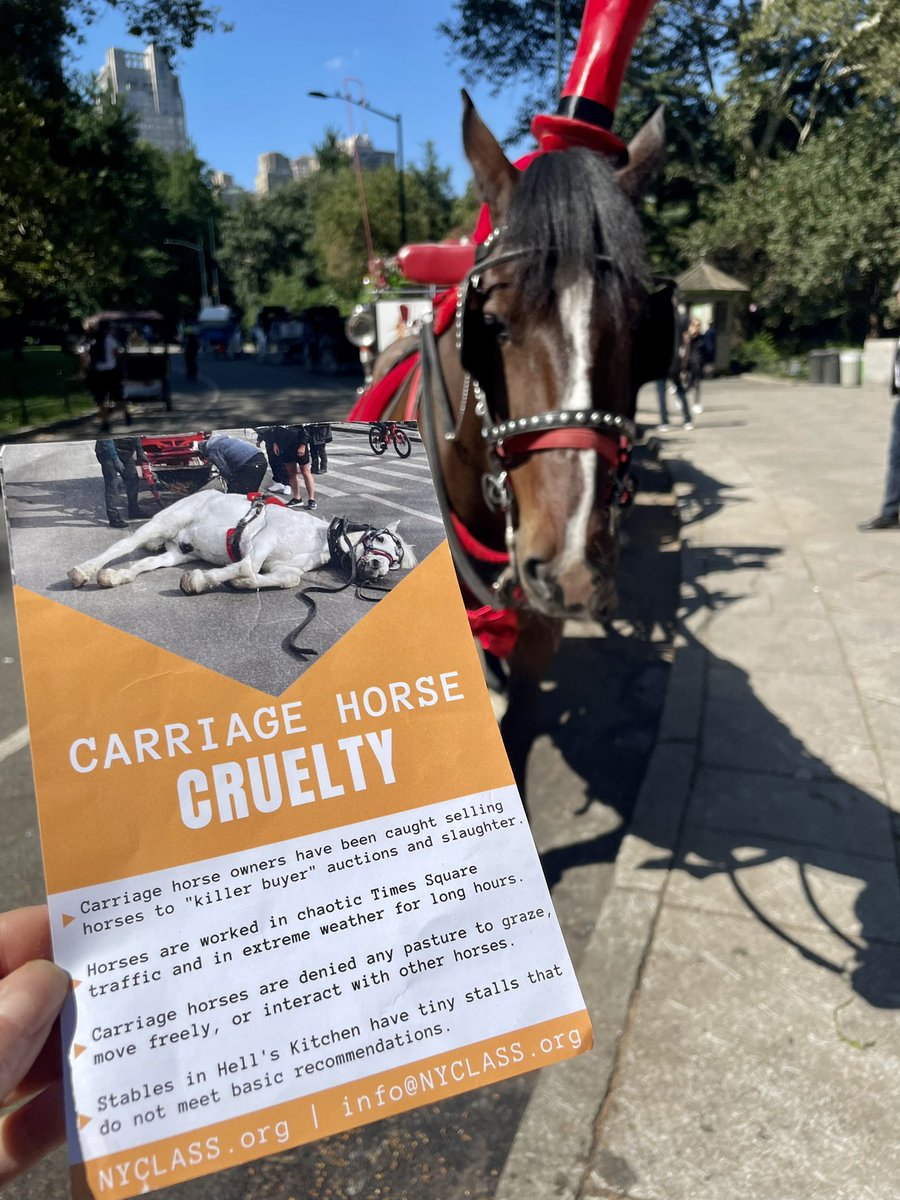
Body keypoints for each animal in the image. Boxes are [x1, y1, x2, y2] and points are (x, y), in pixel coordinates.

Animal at [67, 491, 417, 595]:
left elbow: (288, 579)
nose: (377, 566)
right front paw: (203, 580)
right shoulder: (266, 539)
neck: (318, 539)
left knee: (145, 563)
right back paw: (83, 571)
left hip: (178, 552)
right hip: (163, 523)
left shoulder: (286, 567)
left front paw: (240, 583)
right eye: (380, 538)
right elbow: (248, 564)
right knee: (124, 546)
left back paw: (116, 576)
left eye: (396, 561)